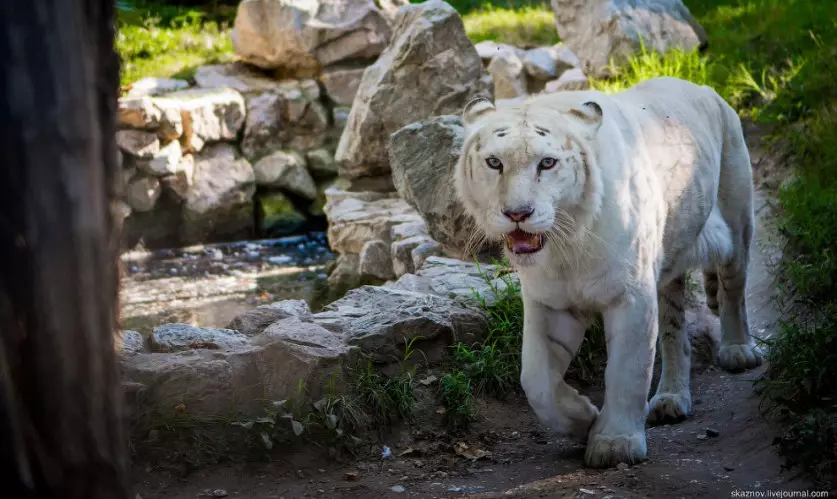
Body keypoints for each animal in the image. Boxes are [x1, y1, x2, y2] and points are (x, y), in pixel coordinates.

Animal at [454, 77, 760, 468]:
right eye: (494, 162)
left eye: (547, 163)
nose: (518, 213)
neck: (566, 248)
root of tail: (704, 88)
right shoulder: (550, 302)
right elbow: (536, 380)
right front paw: (584, 420)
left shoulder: (631, 294)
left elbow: (628, 369)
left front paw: (615, 443)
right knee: (675, 330)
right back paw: (671, 399)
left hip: (737, 221)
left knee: (733, 290)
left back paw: (739, 352)